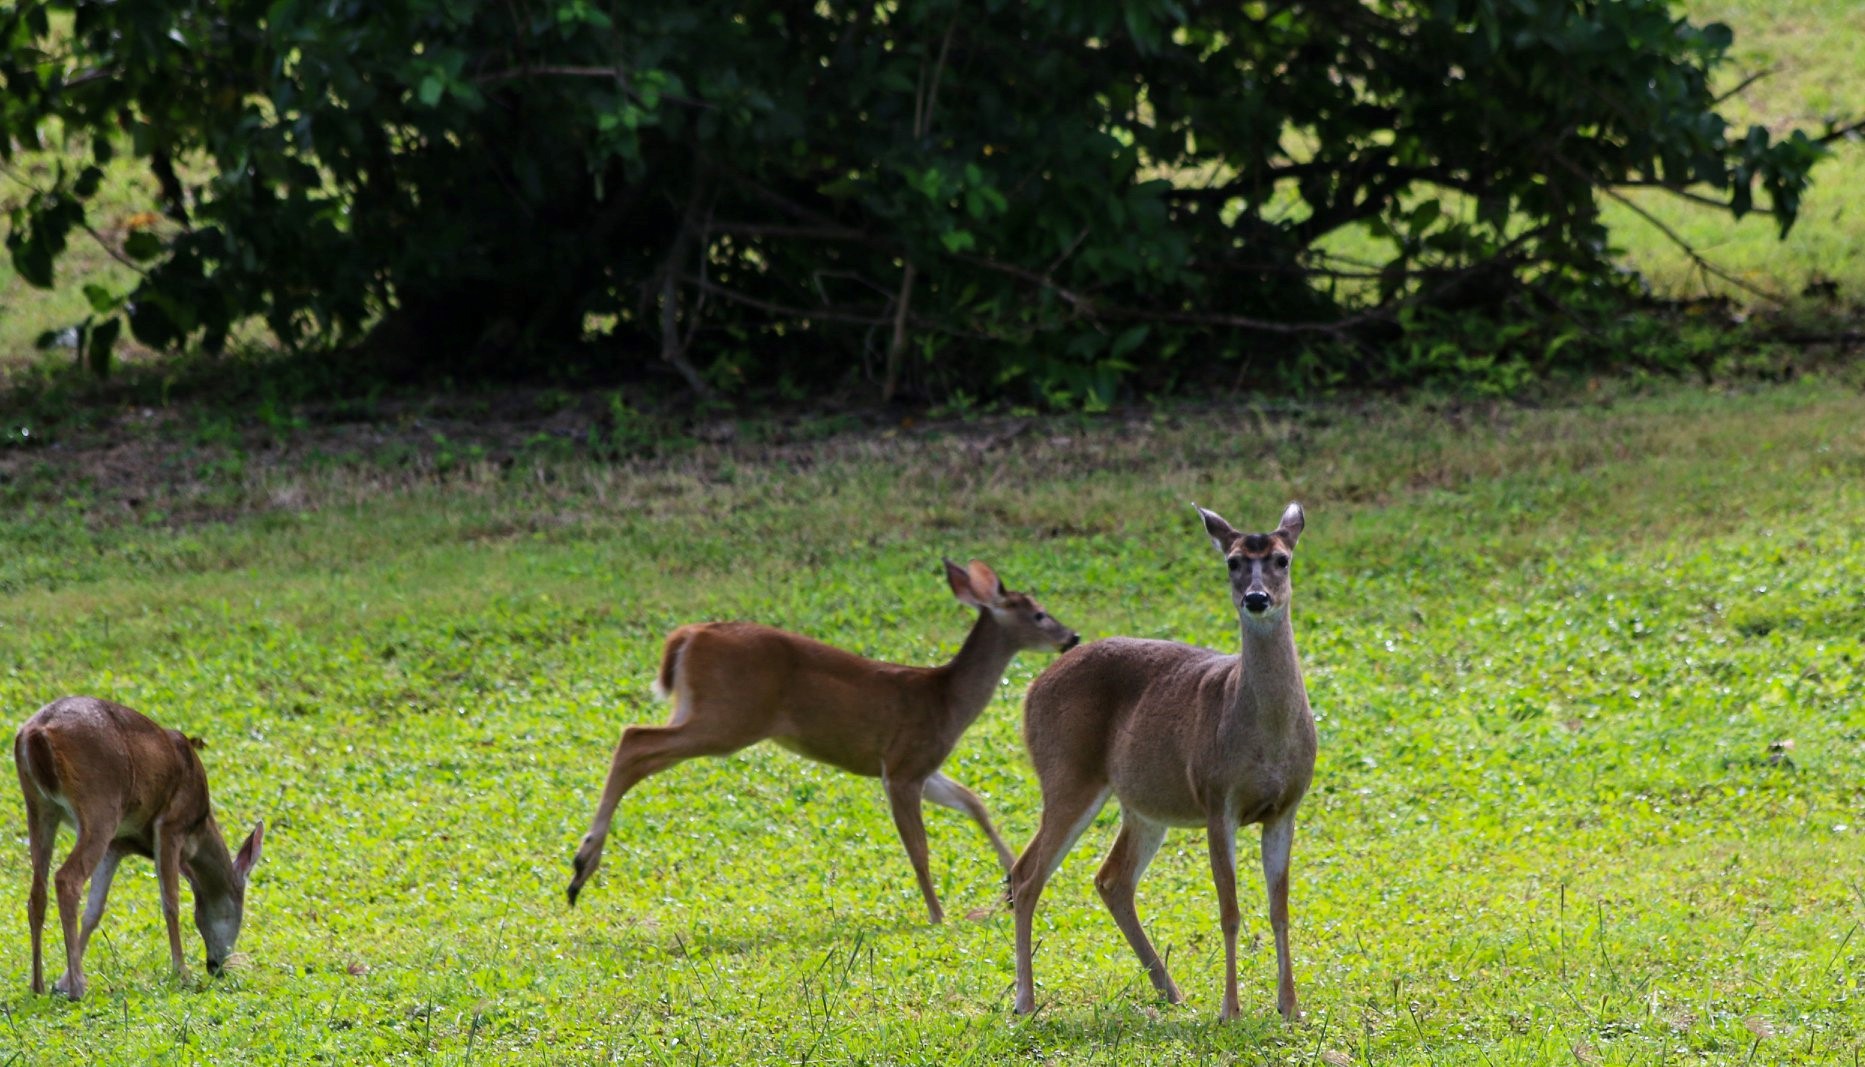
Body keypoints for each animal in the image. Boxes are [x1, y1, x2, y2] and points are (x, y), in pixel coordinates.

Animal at [15, 696, 265, 1001]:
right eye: (240, 912)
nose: (215, 966)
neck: (198, 828)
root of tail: (36, 733)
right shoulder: (170, 825)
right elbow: (171, 902)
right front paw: (181, 972)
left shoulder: (118, 844)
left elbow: (94, 911)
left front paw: (60, 982)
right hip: (100, 806)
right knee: (66, 879)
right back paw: (77, 987)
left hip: (39, 807)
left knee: (37, 892)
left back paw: (38, 985)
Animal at [567, 559, 1079, 923]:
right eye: (1038, 613)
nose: (1071, 636)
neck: (945, 698)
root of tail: (688, 635)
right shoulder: (903, 765)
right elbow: (919, 847)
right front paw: (938, 914)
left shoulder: (921, 767)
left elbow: (975, 802)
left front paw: (1009, 884)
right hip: (729, 718)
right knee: (635, 740)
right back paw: (581, 865)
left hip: (704, 712)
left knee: (638, 745)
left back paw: (580, 871)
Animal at [1010, 503, 1316, 1022]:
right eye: (1233, 562)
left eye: (1282, 559)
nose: (1256, 598)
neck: (1266, 740)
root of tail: (1031, 688)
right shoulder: (1217, 799)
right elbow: (1230, 910)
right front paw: (1230, 1010)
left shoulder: (1286, 808)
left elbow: (1280, 909)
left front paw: (1290, 1007)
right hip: (1068, 772)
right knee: (1028, 875)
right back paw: (1025, 1001)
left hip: (1143, 804)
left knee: (1109, 878)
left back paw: (1170, 990)